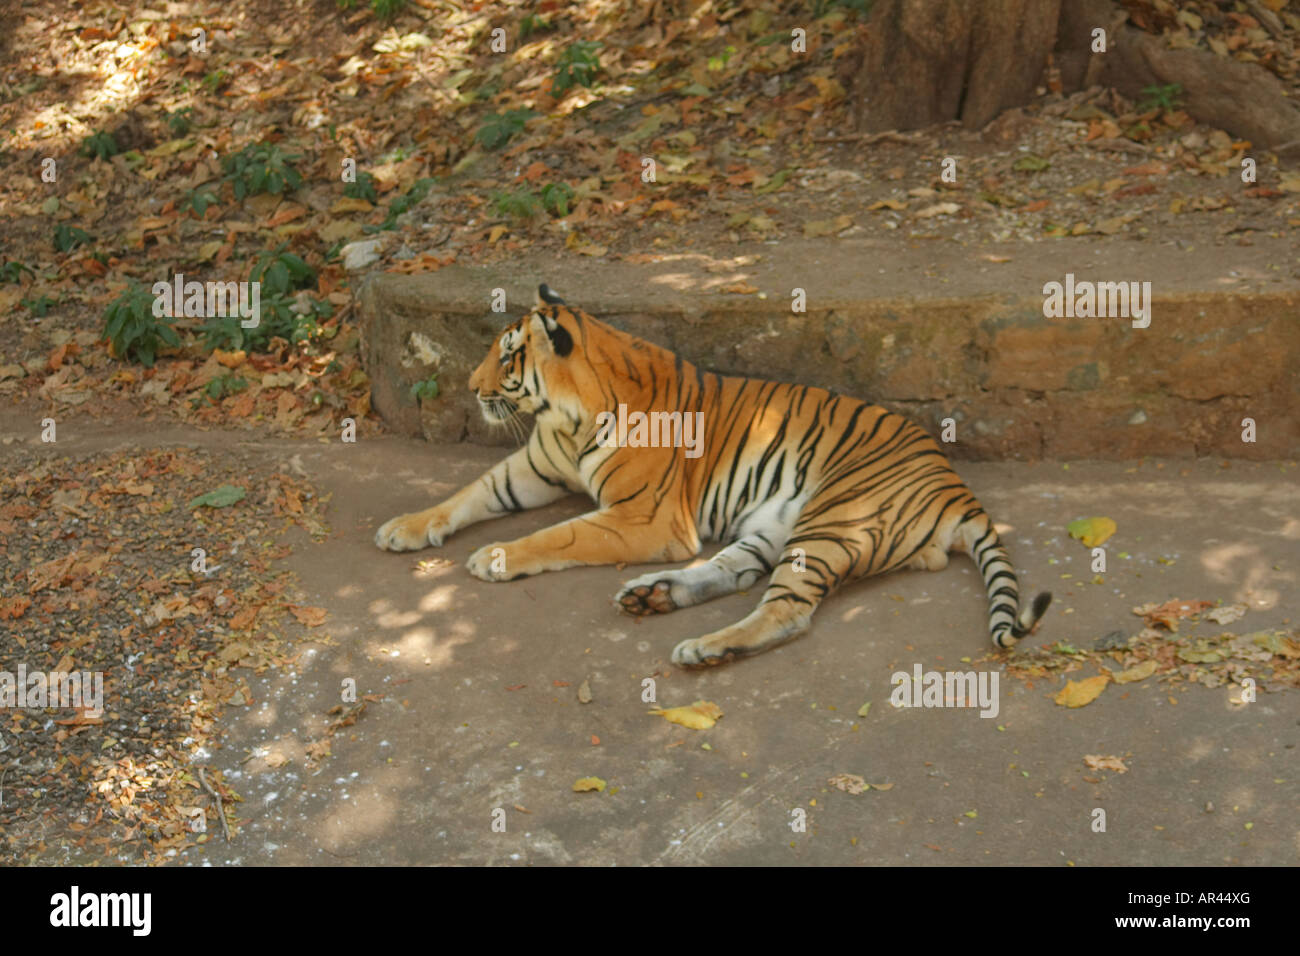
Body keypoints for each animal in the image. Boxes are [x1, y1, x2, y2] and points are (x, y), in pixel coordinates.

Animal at [374, 284, 1052, 666]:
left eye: (508, 356)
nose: (471, 386)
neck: (565, 416)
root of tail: (957, 487)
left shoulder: (644, 519)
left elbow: (559, 535)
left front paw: (493, 557)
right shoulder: (532, 468)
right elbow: (466, 494)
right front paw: (403, 527)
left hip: (831, 524)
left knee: (788, 612)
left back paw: (703, 649)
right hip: (778, 527)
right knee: (735, 571)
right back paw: (654, 596)